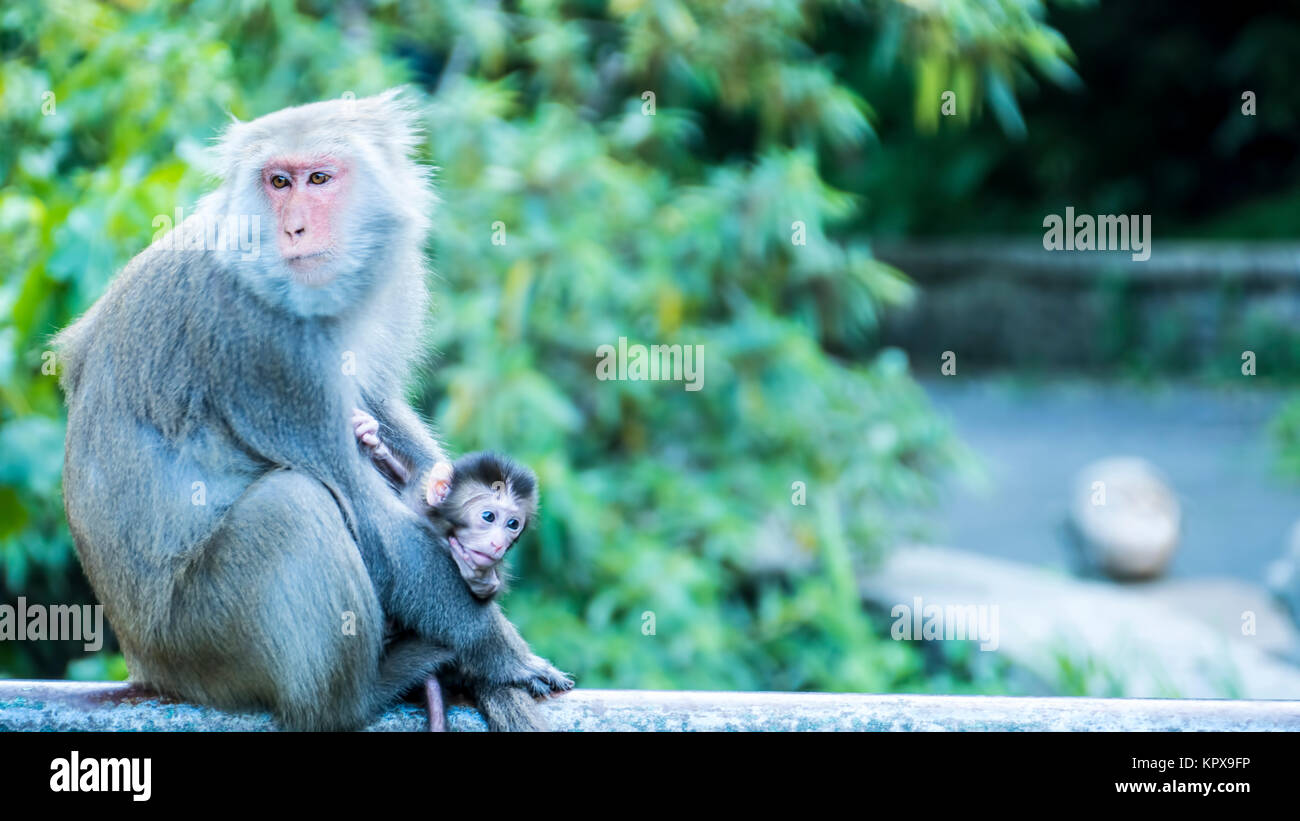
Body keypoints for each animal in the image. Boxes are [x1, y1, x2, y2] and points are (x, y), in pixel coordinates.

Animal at [55, 89, 572, 732]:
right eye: (278, 181)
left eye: (318, 178)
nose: (293, 229)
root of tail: (145, 664)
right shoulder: (262, 345)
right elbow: (368, 516)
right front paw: (503, 654)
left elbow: (378, 406)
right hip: (200, 641)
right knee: (293, 505)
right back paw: (360, 695)